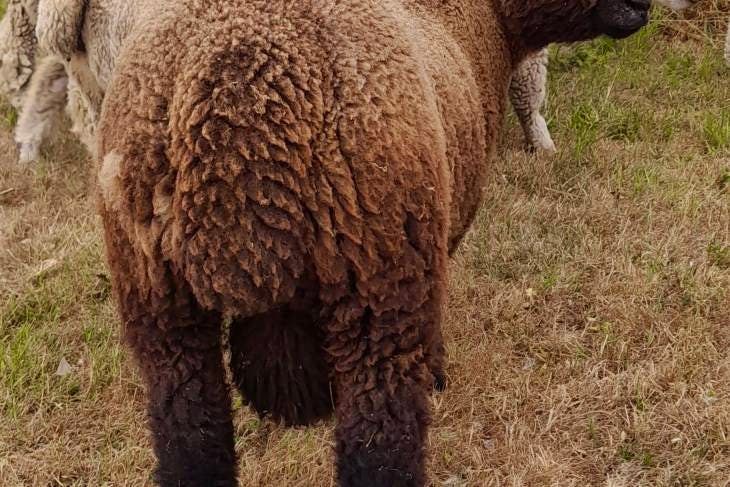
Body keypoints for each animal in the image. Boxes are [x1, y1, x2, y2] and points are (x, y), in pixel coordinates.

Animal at [35, 0, 649, 484]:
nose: (644, 7)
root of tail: (233, 113)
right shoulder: (435, 240)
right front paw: (437, 372)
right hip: (381, 280)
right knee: (379, 443)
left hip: (158, 300)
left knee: (190, 434)